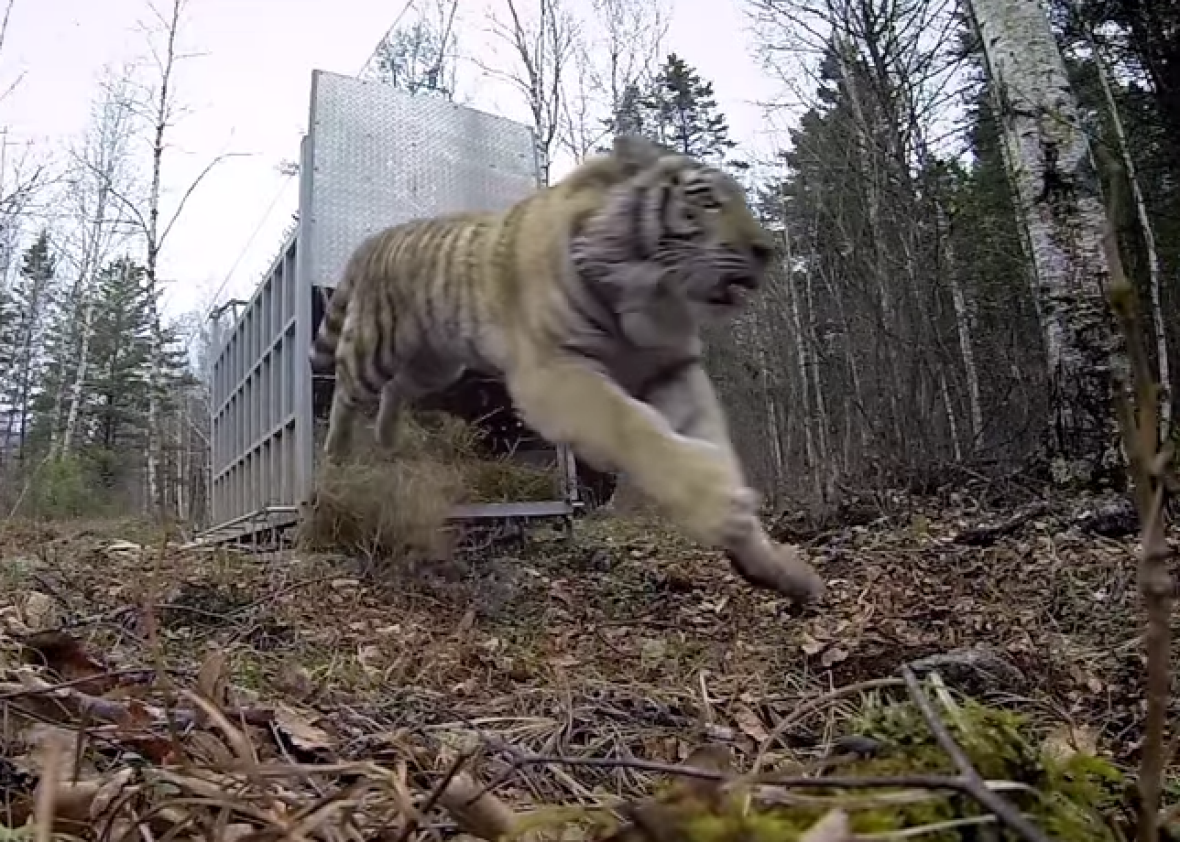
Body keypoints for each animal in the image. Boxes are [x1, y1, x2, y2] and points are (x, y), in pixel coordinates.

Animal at [308, 135, 826, 604]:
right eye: (708, 201)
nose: (766, 249)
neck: (649, 294)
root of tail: (373, 238)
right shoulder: (555, 374)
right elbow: (634, 425)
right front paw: (715, 501)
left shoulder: (672, 368)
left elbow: (710, 443)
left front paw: (774, 565)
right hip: (377, 346)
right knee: (346, 388)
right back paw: (335, 458)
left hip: (437, 364)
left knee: (395, 390)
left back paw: (387, 438)